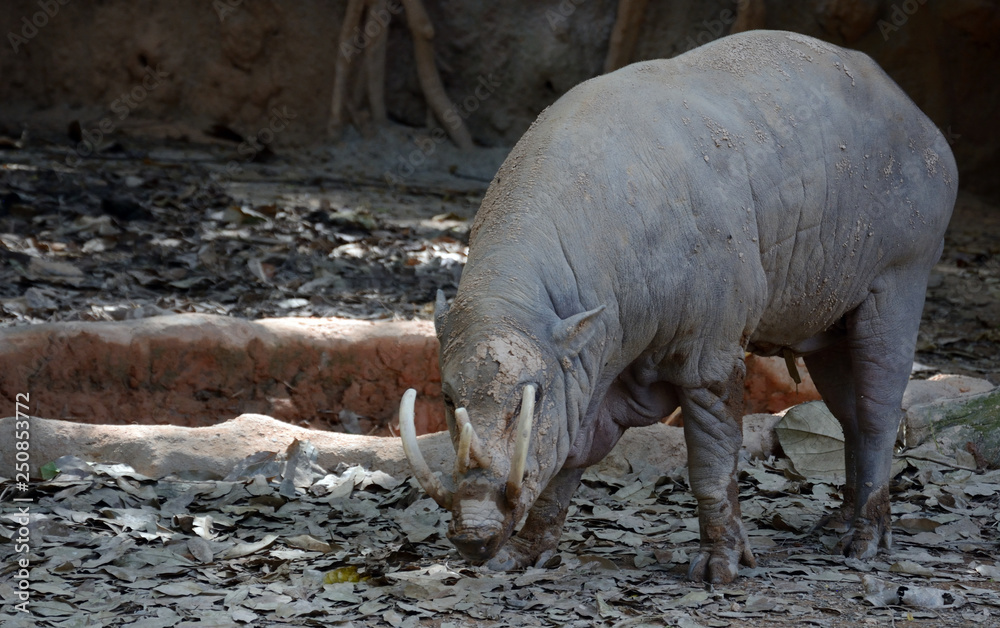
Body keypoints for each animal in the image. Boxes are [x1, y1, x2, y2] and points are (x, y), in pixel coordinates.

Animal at [398, 30, 956, 583]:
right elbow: (575, 453)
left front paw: (720, 563)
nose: (474, 536)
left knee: (879, 411)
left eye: (524, 404)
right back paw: (838, 520)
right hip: (829, 317)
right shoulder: (595, 364)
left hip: (899, 277)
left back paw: (866, 536)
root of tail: (920, 119)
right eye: (448, 399)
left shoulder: (709, 353)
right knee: (849, 415)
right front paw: (524, 551)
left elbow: (710, 465)